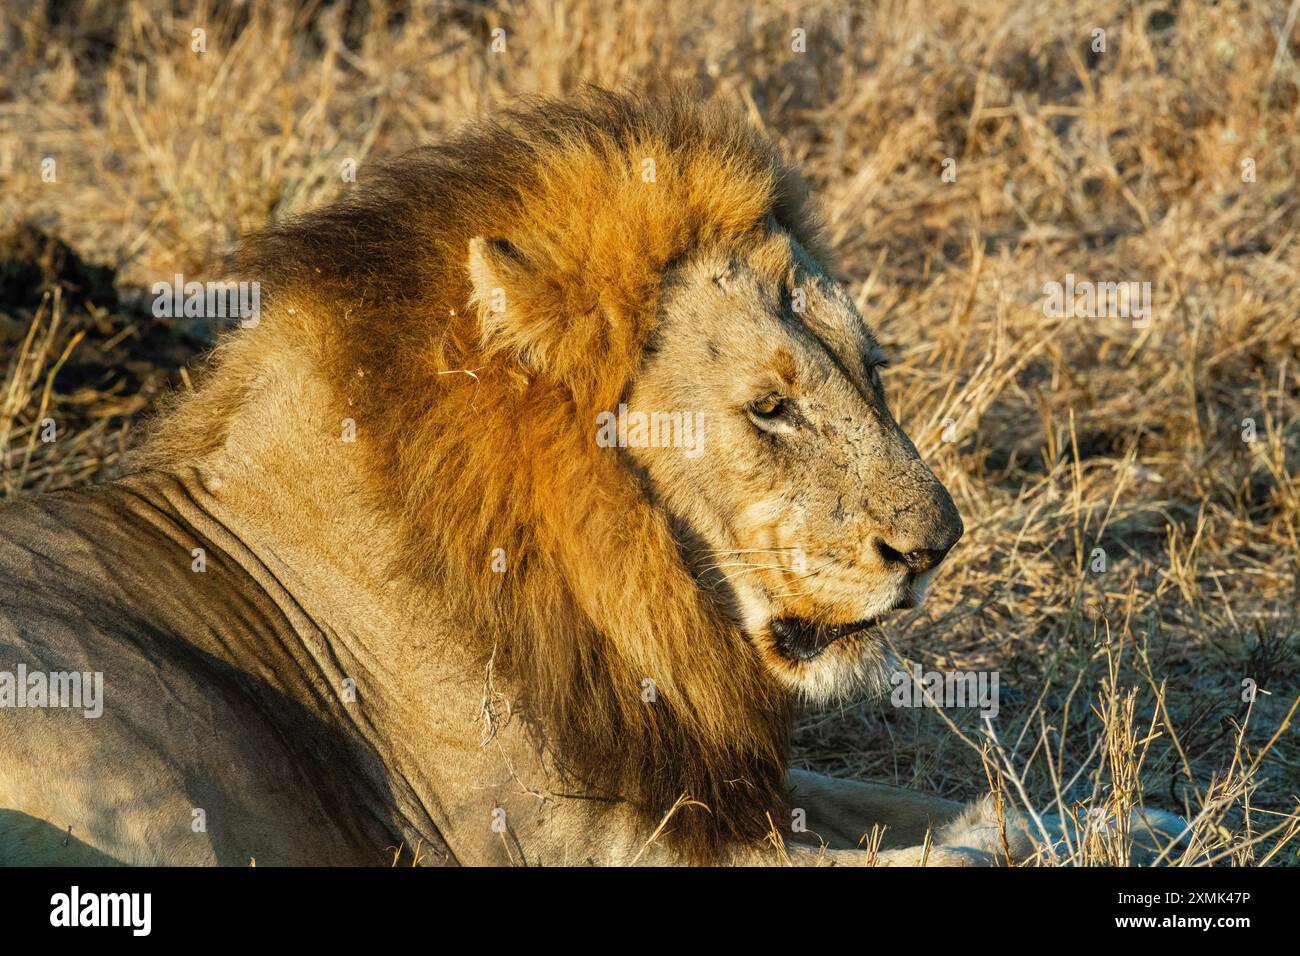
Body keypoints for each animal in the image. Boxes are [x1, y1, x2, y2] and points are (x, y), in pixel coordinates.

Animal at [0, 89, 1182, 866]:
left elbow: (906, 799)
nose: (934, 549)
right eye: (769, 405)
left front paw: (1129, 818)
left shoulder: (681, 771)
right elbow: (917, 854)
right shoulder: (551, 840)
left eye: (873, 370)